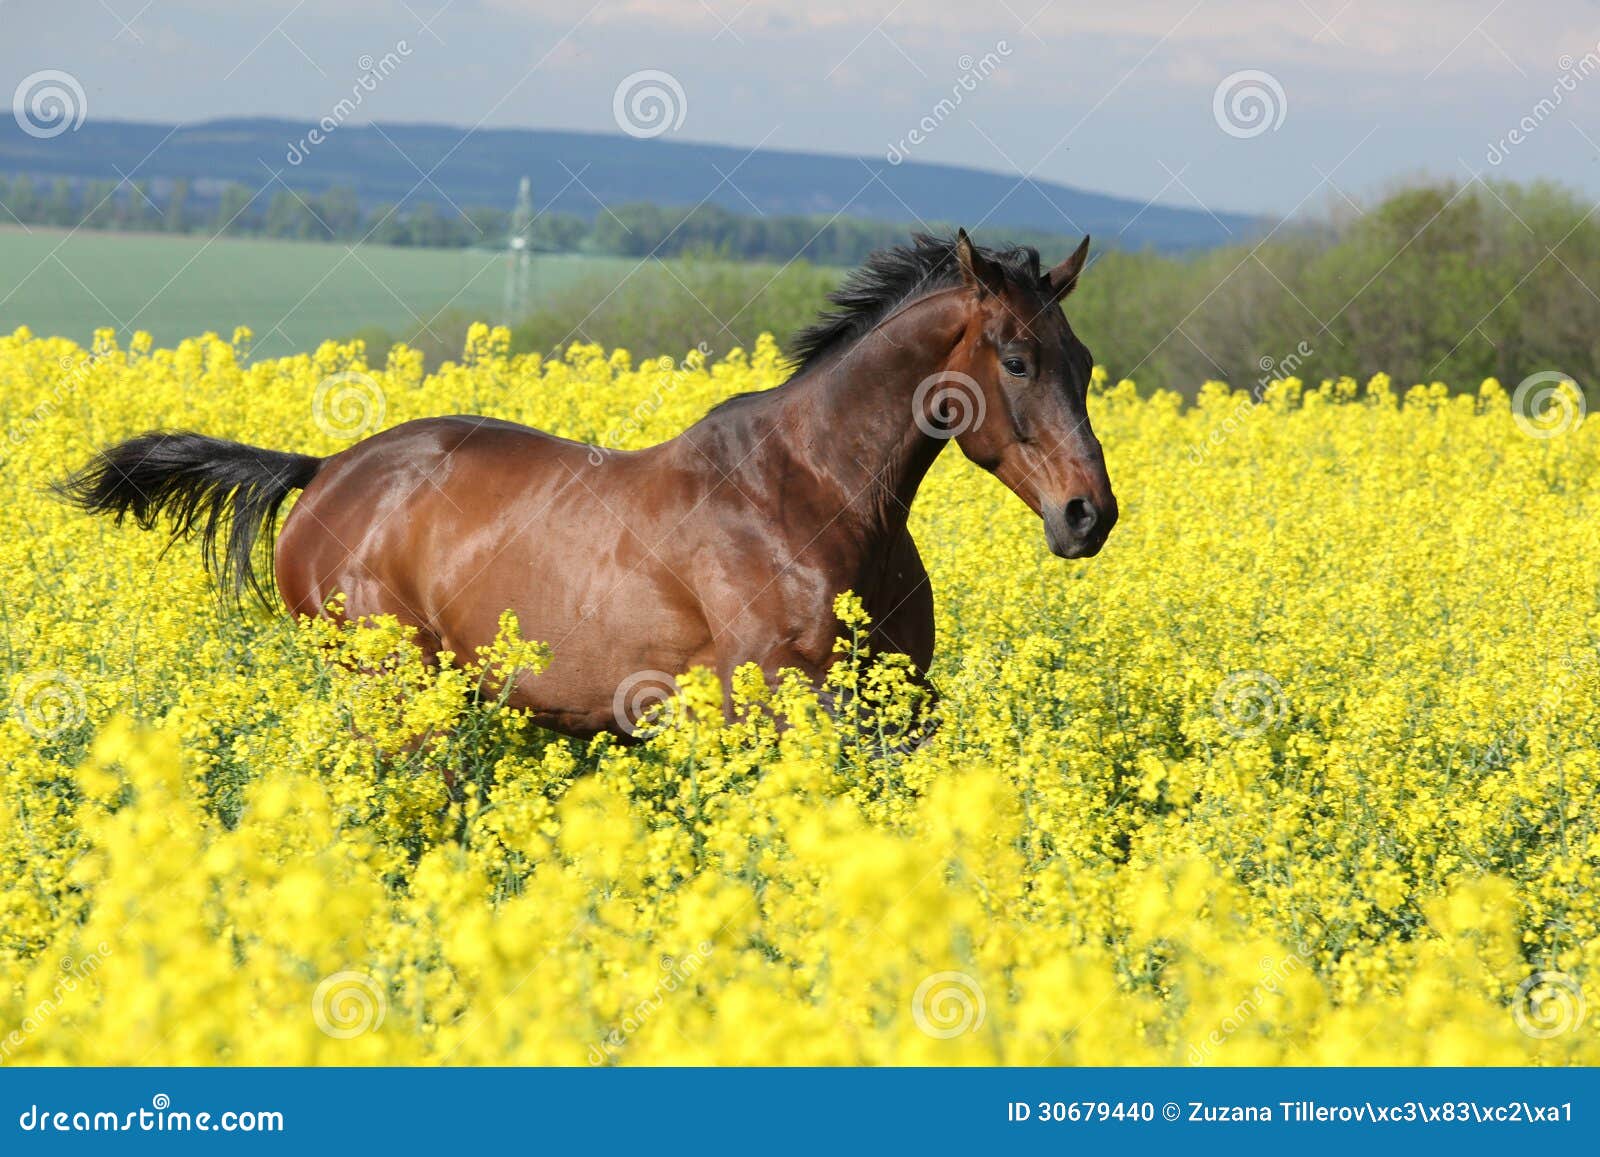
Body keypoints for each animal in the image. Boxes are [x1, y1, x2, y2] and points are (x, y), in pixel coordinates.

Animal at [57, 230, 1117, 739]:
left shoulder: (901, 700)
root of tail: (323, 475)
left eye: (1088, 361)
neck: (815, 498)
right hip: (396, 689)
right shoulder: (778, 699)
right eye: (1016, 360)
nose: (1088, 517)